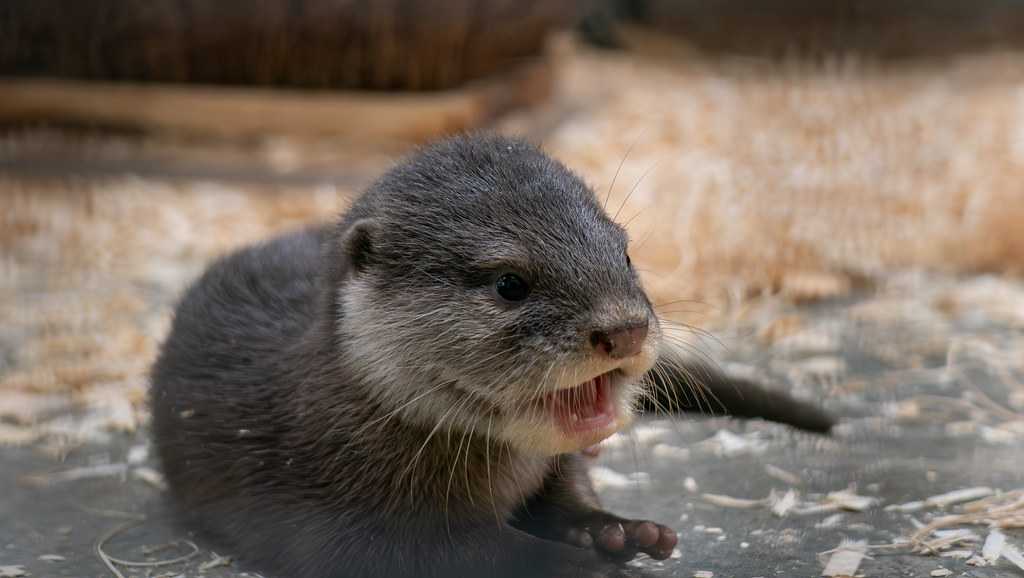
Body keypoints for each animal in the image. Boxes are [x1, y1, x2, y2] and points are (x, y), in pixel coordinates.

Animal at [151, 134, 832, 578]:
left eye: (625, 253)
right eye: (509, 283)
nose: (625, 329)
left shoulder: (550, 463)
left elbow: (567, 485)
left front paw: (614, 529)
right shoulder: (338, 513)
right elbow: (461, 554)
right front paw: (581, 563)